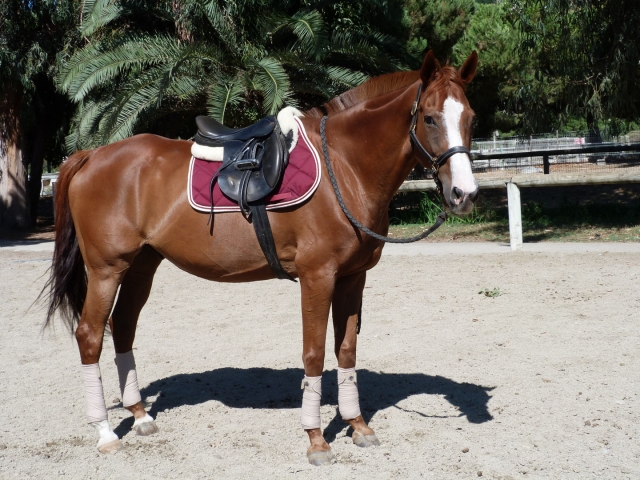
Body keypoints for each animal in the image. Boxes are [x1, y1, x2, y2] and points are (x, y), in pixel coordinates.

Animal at [43, 50, 479, 465]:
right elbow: (314, 354)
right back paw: (105, 433)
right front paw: (316, 440)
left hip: (141, 266)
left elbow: (347, 351)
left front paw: (357, 425)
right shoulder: (317, 276)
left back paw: (139, 416)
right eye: (429, 118)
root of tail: (92, 155)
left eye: (470, 118)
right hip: (106, 269)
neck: (344, 166)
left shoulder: (353, 277)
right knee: (90, 335)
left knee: (123, 326)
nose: (464, 194)